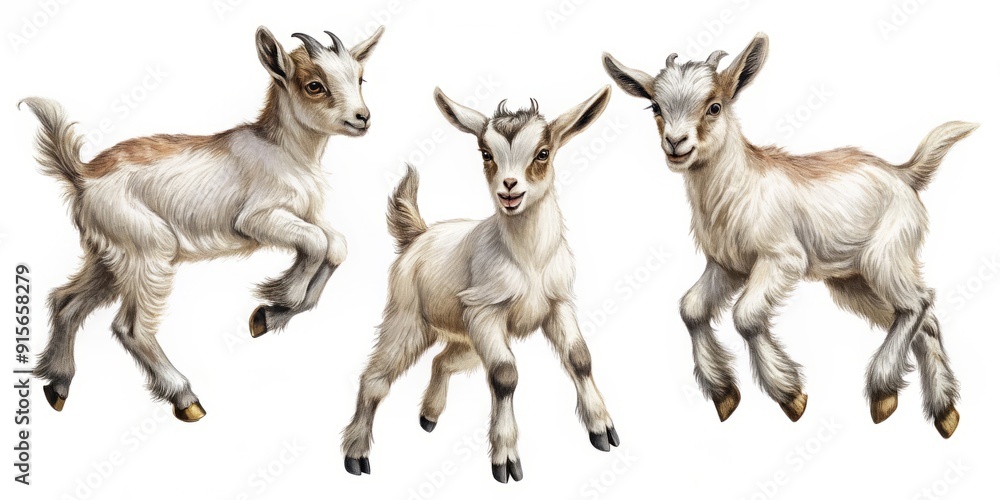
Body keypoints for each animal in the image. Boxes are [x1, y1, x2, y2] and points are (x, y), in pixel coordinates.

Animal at [21, 25, 384, 422]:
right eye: (314, 85)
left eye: (360, 78)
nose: (363, 118)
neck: (286, 152)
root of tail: (83, 175)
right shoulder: (258, 219)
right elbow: (319, 244)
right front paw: (278, 300)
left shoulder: (308, 216)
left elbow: (336, 246)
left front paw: (268, 315)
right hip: (149, 253)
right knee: (129, 327)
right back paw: (185, 398)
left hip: (109, 257)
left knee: (65, 301)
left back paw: (57, 386)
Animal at [342, 87, 617, 483]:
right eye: (487, 154)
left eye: (543, 152)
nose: (509, 188)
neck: (528, 260)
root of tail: (419, 234)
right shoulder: (486, 311)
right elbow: (505, 375)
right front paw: (506, 459)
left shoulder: (558, 304)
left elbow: (580, 358)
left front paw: (603, 430)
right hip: (408, 318)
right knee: (375, 378)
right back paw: (355, 454)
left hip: (466, 336)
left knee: (442, 360)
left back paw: (428, 416)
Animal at [604, 33, 975, 438]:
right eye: (655, 106)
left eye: (714, 106)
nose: (675, 143)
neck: (738, 188)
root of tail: (904, 173)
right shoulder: (726, 266)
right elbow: (692, 308)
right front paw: (724, 394)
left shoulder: (781, 259)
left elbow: (746, 315)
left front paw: (791, 395)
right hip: (853, 281)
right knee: (925, 321)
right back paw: (944, 412)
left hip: (886, 256)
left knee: (918, 303)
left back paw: (882, 393)